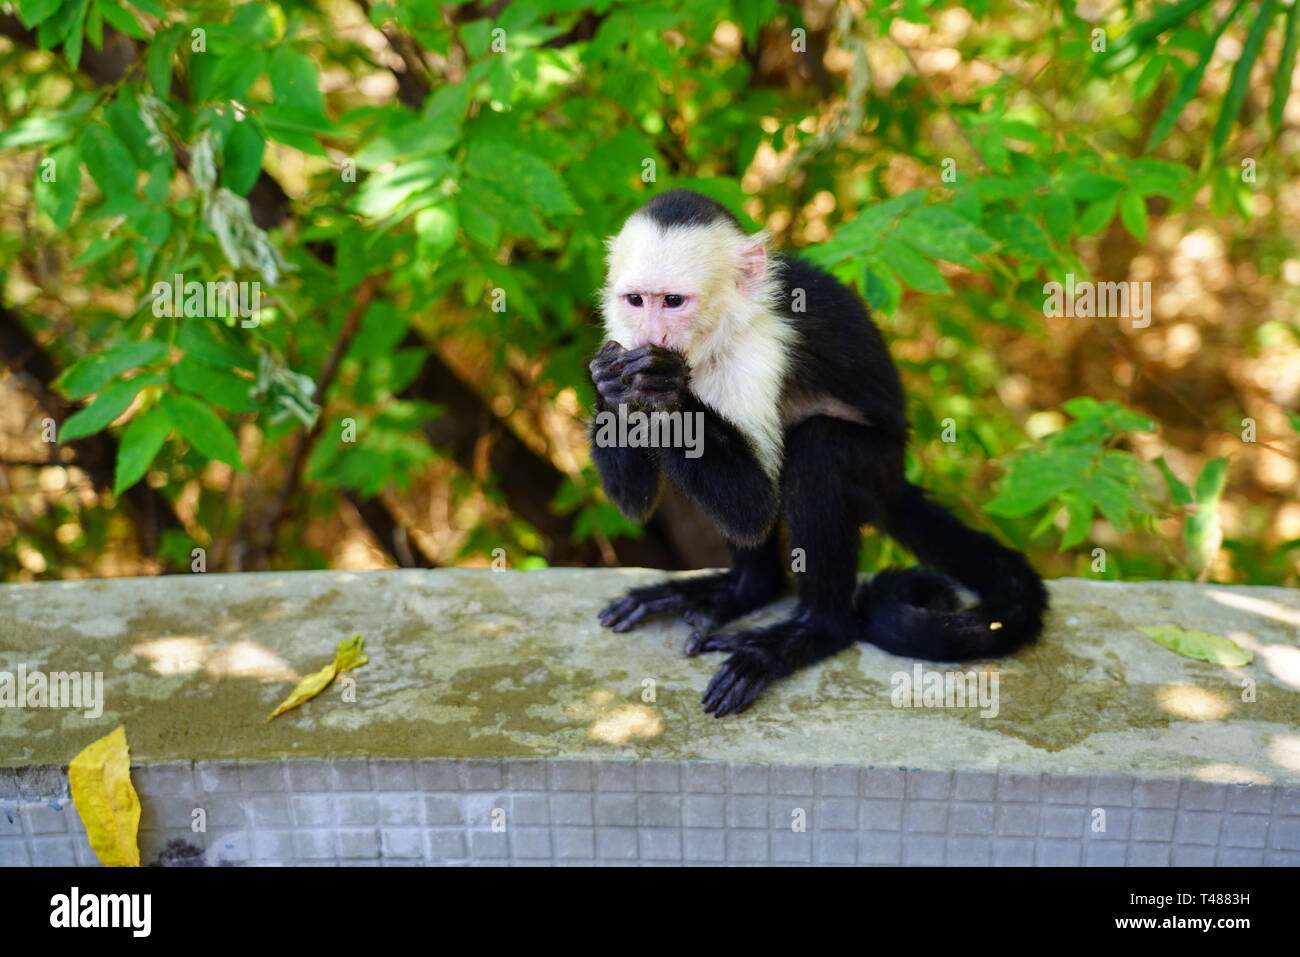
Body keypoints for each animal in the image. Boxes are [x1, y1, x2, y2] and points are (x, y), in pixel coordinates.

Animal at [587, 189, 1048, 717]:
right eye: (636, 300)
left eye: (674, 301)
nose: (650, 338)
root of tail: (896, 480)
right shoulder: (618, 330)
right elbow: (638, 500)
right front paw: (609, 384)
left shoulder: (759, 352)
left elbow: (753, 507)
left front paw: (664, 388)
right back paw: (744, 590)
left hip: (877, 464)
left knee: (818, 451)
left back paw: (812, 632)